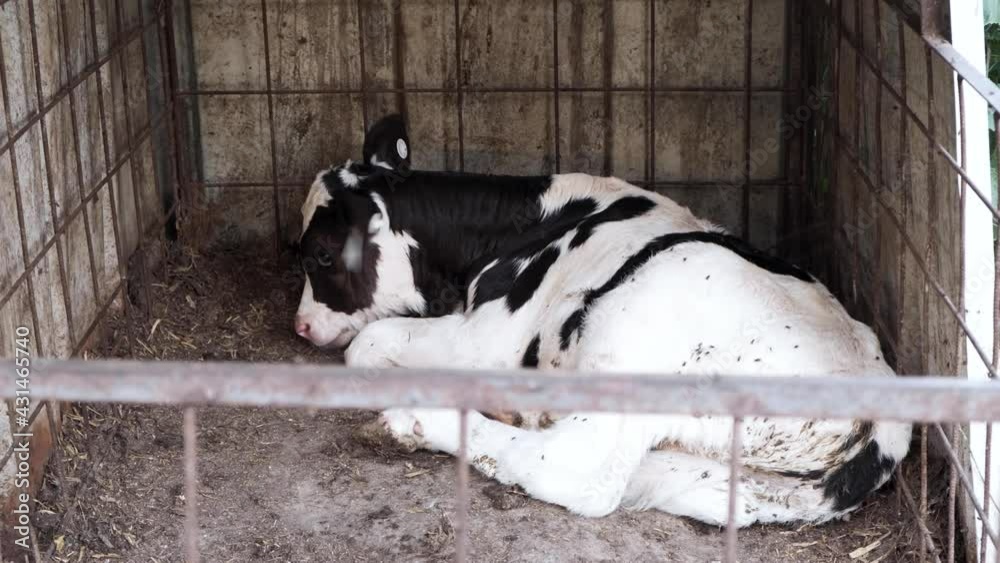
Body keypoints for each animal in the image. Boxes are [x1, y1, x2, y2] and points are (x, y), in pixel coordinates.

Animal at [293, 115, 911, 527]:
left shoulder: (486, 338)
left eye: (320, 254)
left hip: (647, 324)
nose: (299, 326)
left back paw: (417, 422)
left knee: (573, 469)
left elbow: (366, 344)